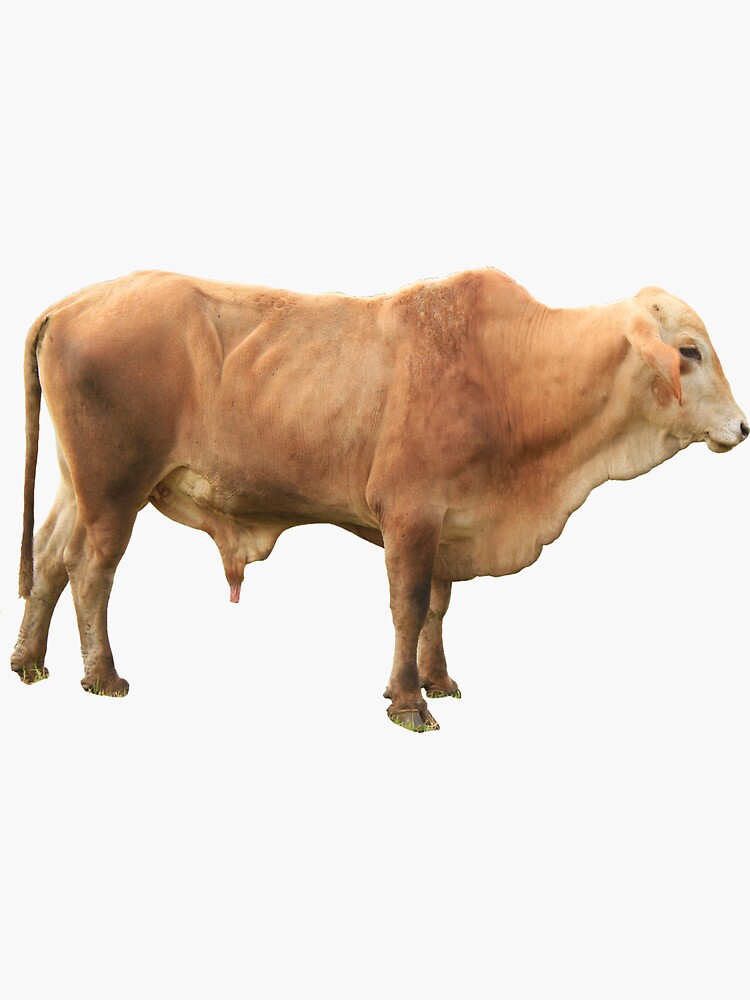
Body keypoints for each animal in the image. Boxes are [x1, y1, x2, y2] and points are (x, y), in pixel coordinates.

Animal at [12, 269, 748, 731]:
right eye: (689, 351)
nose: (742, 426)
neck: (512, 378)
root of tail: (74, 302)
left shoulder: (448, 526)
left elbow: (438, 608)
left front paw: (437, 678)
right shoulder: (411, 513)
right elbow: (409, 605)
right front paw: (409, 702)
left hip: (75, 485)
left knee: (47, 561)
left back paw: (28, 662)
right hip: (114, 487)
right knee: (91, 571)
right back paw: (102, 675)